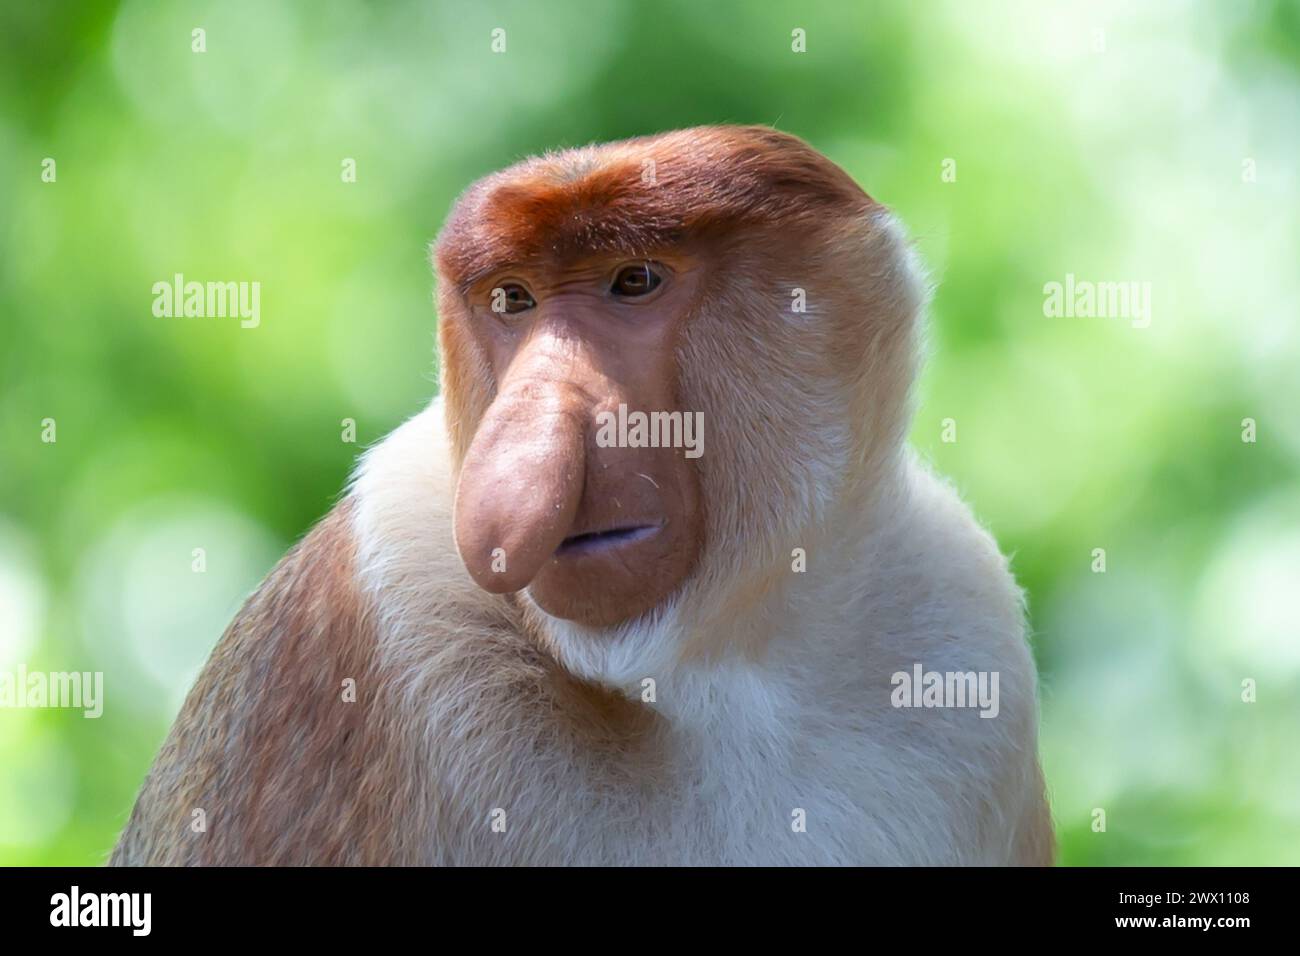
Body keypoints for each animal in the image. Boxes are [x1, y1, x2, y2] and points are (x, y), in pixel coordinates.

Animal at [112, 125, 1053, 866]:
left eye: (634, 281)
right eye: (513, 299)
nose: (532, 443)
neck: (722, 666)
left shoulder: (963, 636)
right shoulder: (365, 614)